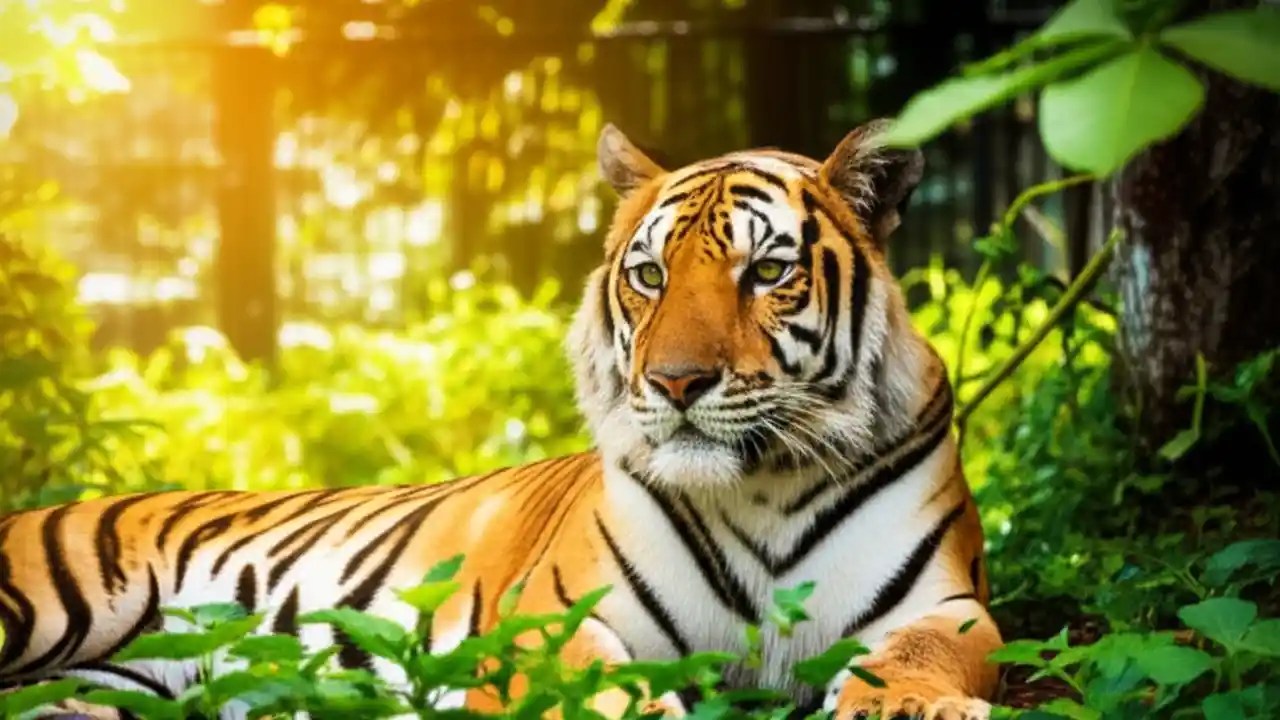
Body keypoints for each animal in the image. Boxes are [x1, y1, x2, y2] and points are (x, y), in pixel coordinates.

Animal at [0, 118, 1004, 720]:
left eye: (765, 272)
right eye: (650, 275)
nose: (676, 382)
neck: (760, 484)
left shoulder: (946, 605)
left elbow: (920, 654)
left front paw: (912, 705)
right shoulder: (549, 618)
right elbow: (598, 689)